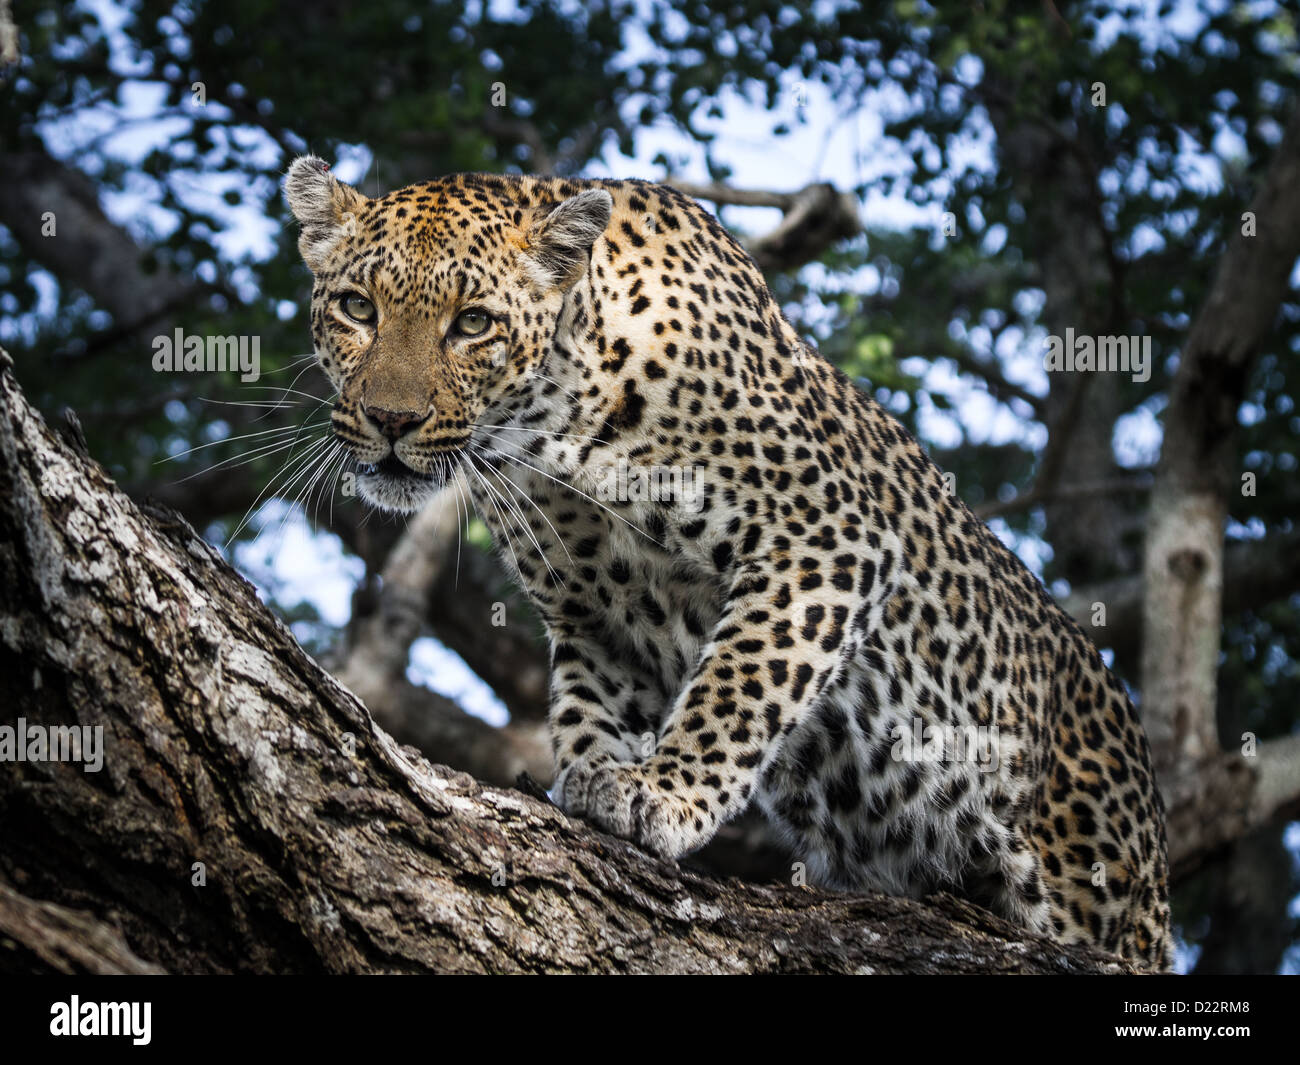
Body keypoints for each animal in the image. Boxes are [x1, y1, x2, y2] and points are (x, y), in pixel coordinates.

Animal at [284, 154, 1173, 969]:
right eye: (358, 308)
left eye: (472, 324)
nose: (391, 420)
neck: (550, 422)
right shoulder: (595, 613)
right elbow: (587, 709)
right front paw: (594, 777)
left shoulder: (824, 532)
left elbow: (739, 684)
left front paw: (664, 793)